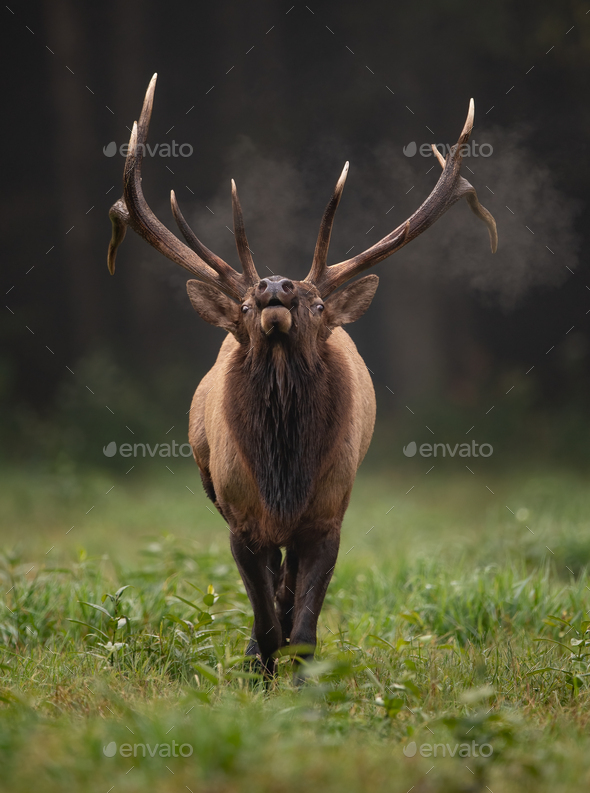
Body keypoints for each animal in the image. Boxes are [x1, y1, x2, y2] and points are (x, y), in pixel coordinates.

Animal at [107, 75, 497, 679]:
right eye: (245, 305)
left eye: (315, 304)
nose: (275, 286)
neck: (283, 474)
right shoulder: (239, 515)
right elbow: (266, 615)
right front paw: (258, 667)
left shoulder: (328, 513)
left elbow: (305, 626)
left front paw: (302, 678)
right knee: (272, 583)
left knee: (288, 583)